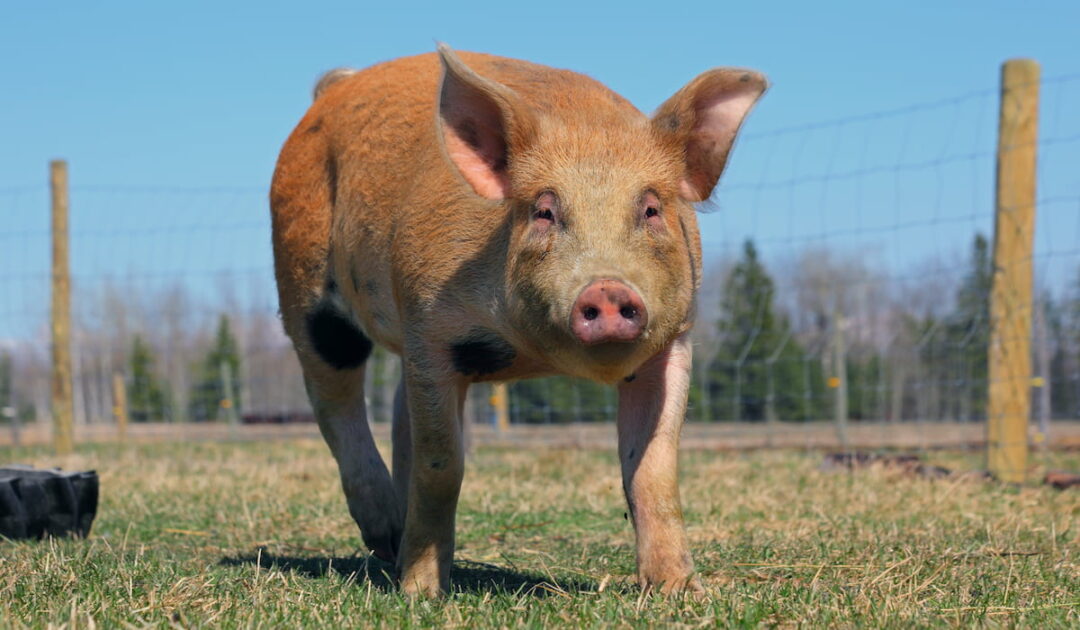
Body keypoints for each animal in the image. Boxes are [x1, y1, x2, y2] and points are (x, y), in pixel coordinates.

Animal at [271, 45, 765, 596]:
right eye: (544, 211)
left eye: (652, 209)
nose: (607, 289)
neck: (534, 356)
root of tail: (336, 87)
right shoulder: (430, 328)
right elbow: (442, 465)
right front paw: (421, 594)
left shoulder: (675, 341)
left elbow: (654, 467)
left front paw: (678, 592)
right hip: (304, 282)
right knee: (333, 401)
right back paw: (386, 540)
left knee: (398, 412)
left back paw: (394, 548)